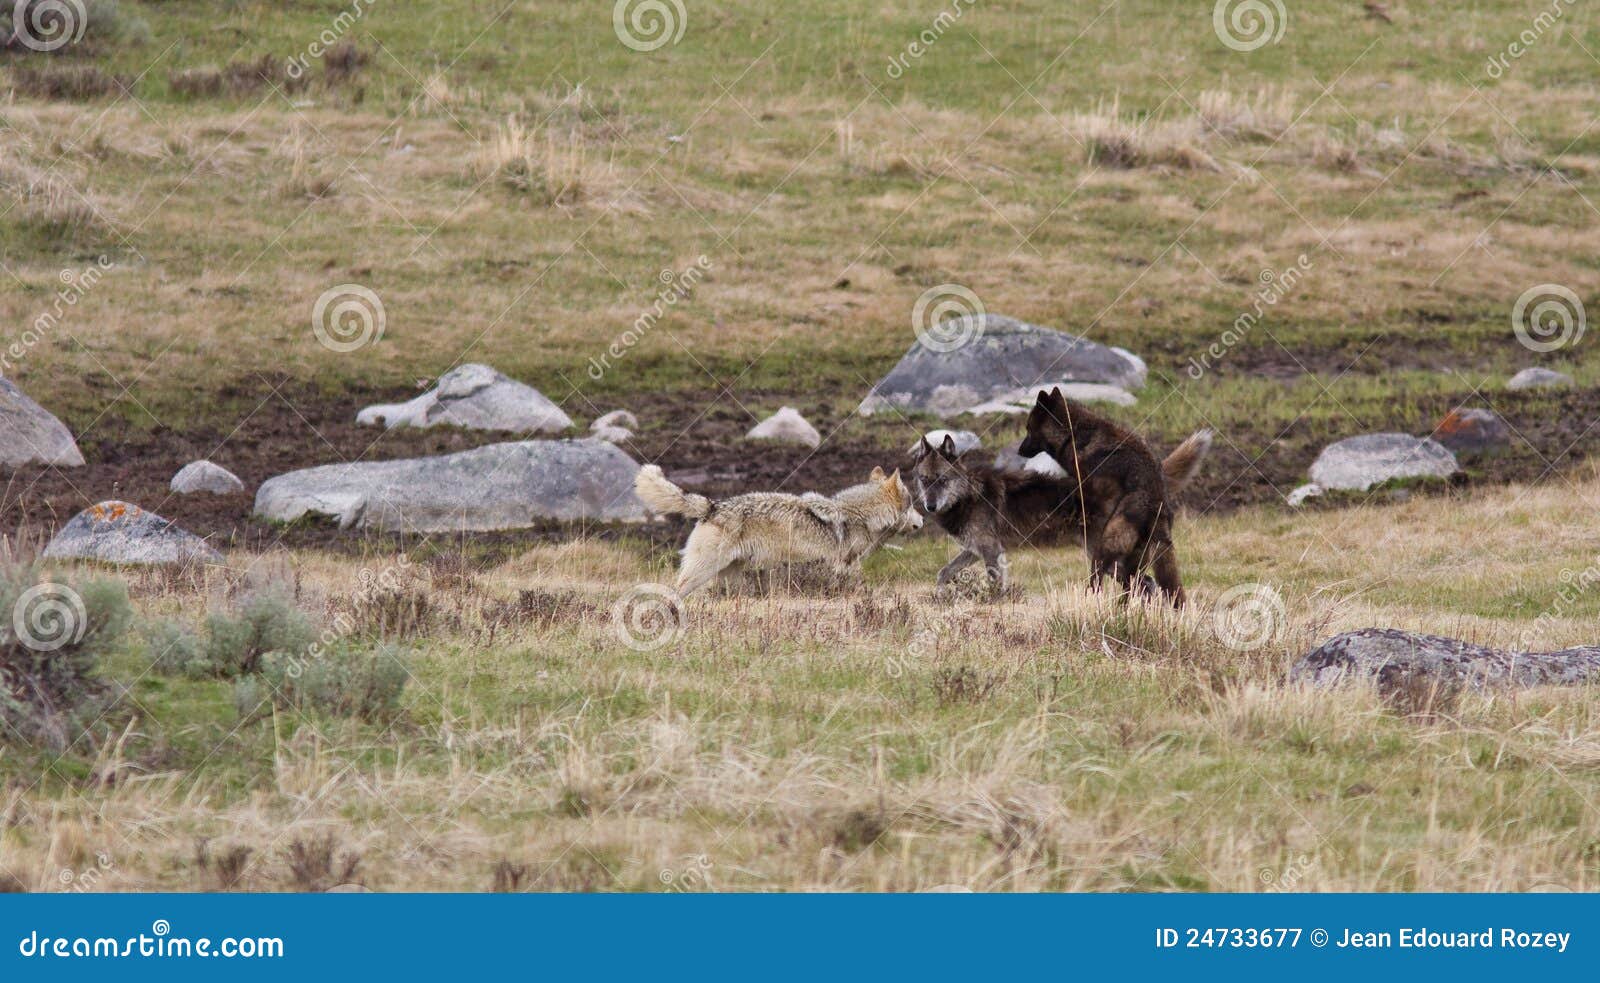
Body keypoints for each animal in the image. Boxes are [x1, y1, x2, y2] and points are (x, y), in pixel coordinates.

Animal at [634, 464, 923, 597]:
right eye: (912, 504)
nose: (922, 520)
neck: (860, 516)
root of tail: (713, 505)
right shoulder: (843, 566)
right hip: (702, 572)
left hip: (730, 574)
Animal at [913, 426, 1211, 596]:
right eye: (925, 480)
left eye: (942, 481)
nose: (930, 506)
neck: (968, 496)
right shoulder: (975, 550)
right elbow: (943, 573)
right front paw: (940, 597)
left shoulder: (991, 551)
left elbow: (995, 586)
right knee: (1147, 584)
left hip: (1104, 558)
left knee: (1147, 584)